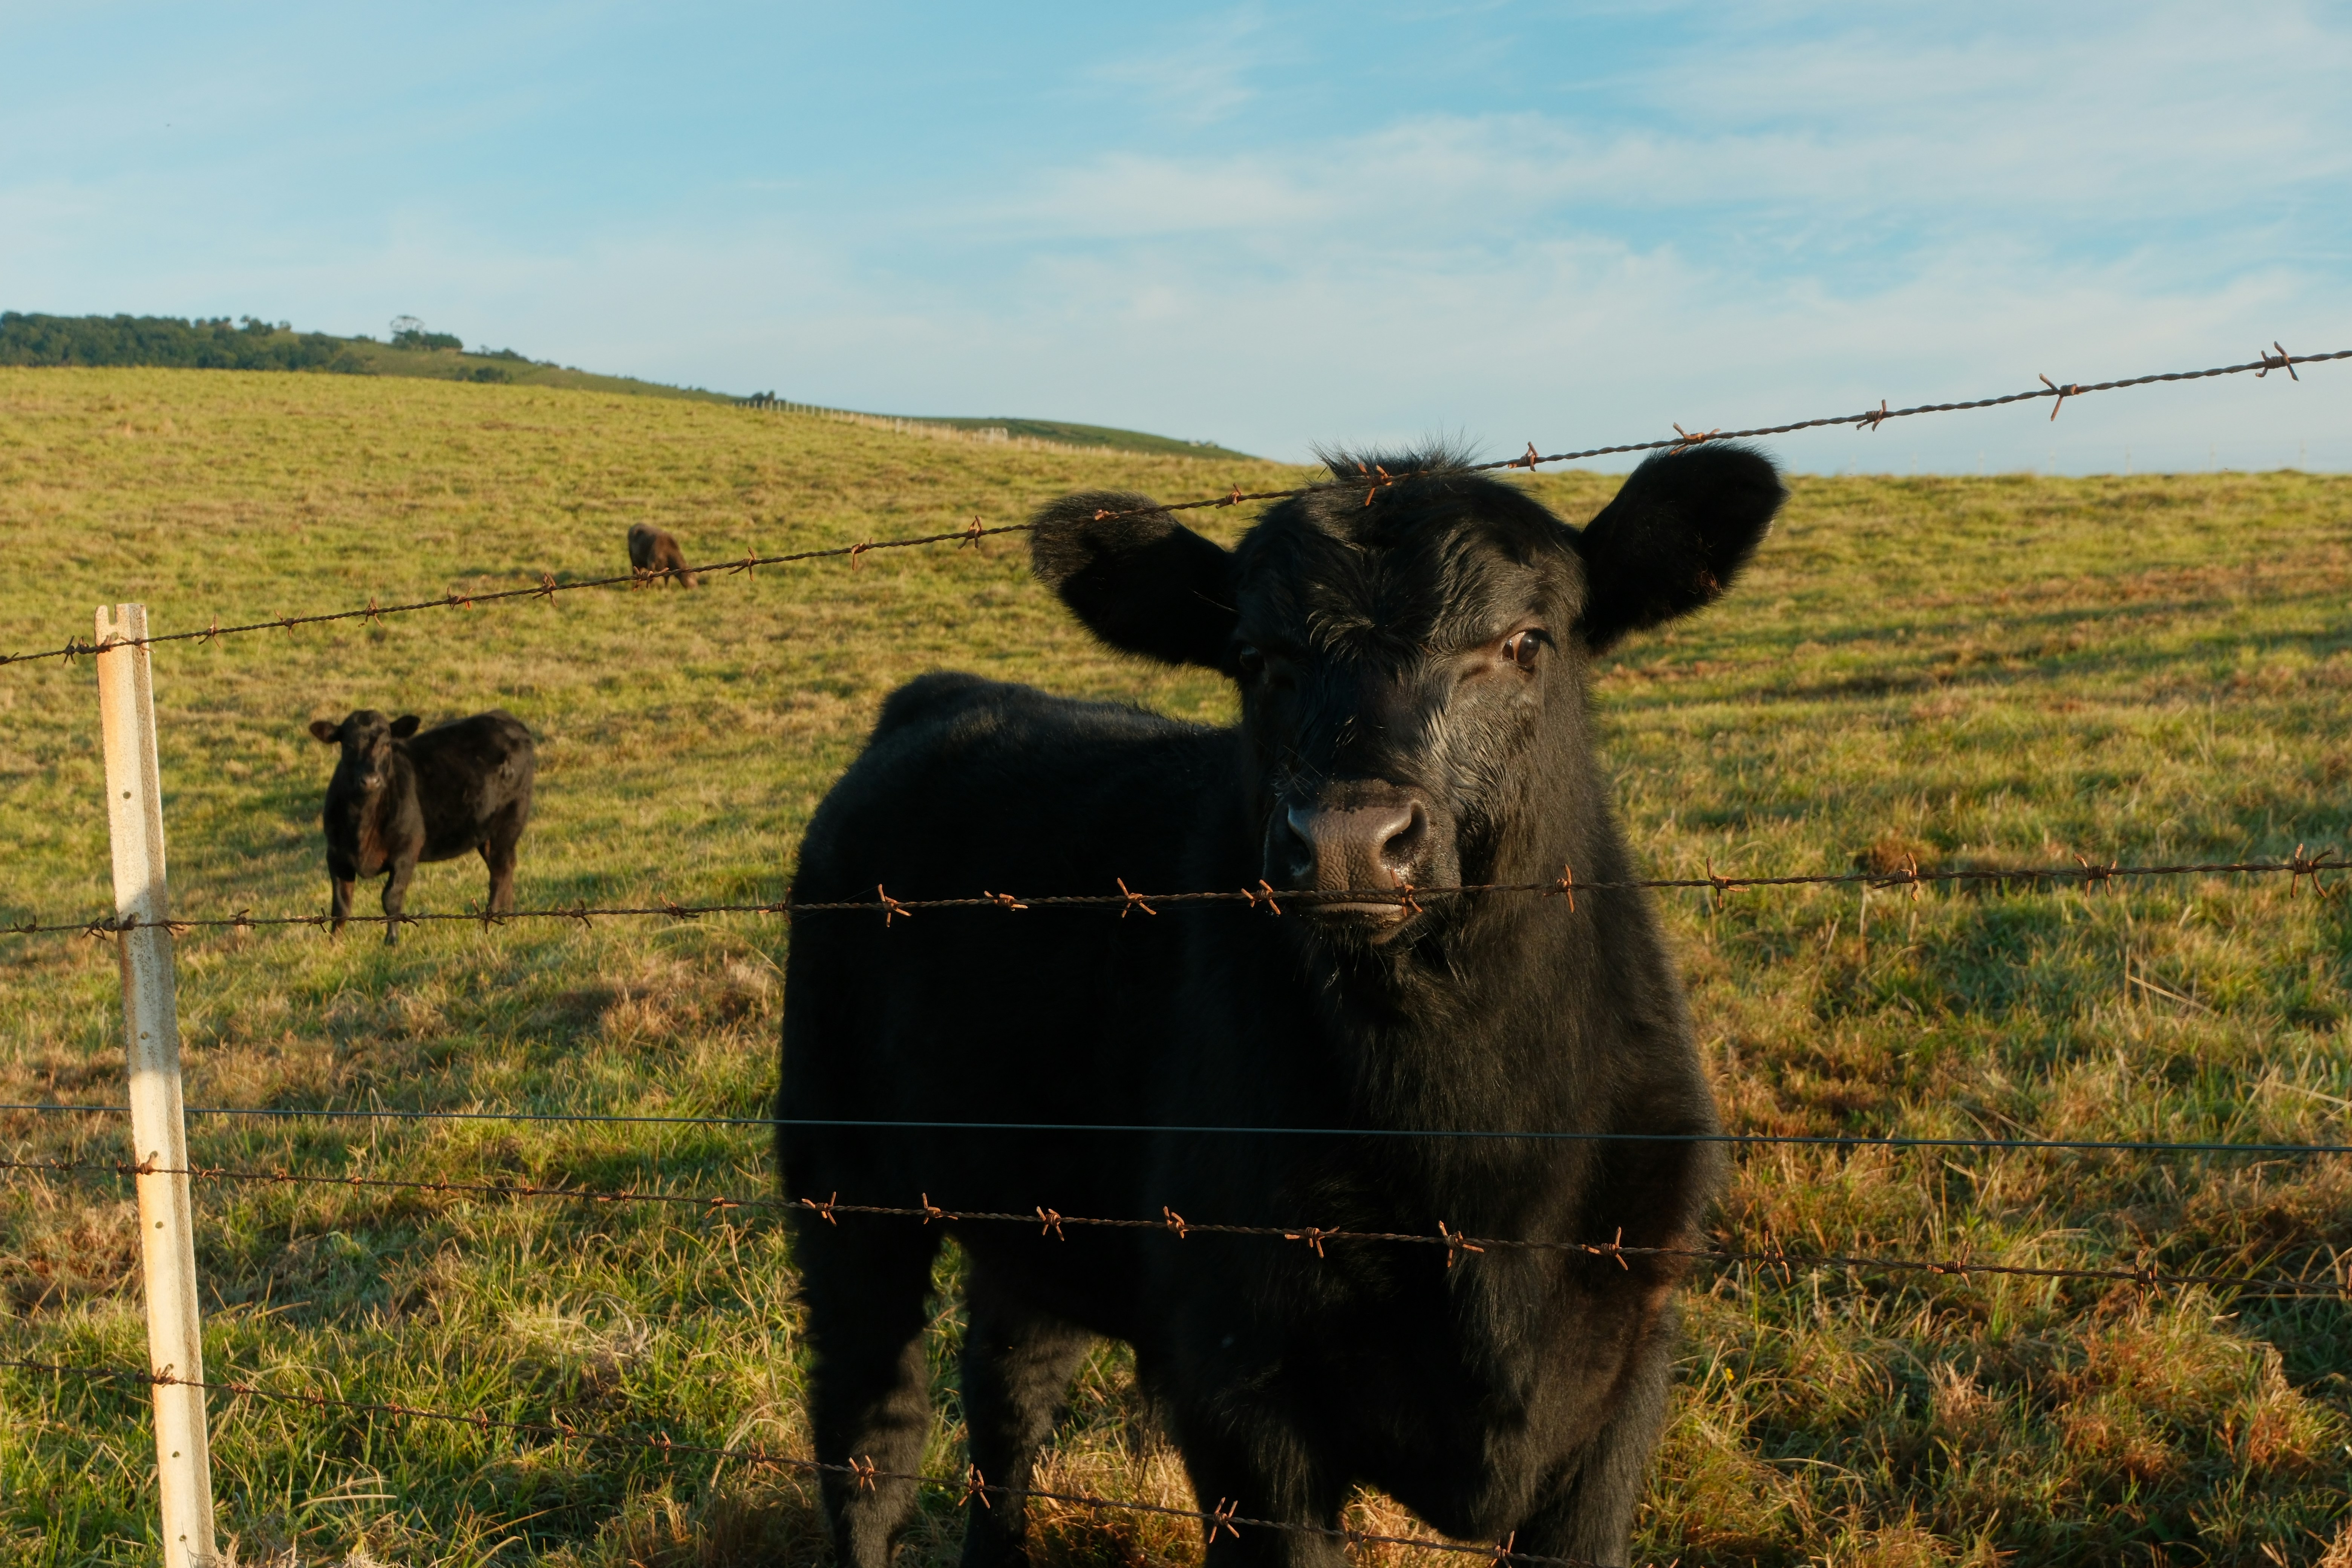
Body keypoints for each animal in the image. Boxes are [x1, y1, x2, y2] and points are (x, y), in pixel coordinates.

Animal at [305, 709, 536, 945]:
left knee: (500, 869)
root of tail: (506, 717)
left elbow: (391, 897)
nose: (370, 781)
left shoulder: (407, 849)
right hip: (486, 831)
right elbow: (341, 905)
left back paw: (493, 918)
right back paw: (507, 915)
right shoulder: (336, 854)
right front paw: (335, 942)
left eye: (387, 744)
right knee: (505, 865)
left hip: (512, 818)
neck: (362, 824)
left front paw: (392, 941)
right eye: (348, 746)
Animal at [628, 522, 698, 587]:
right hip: (634, 560)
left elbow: (666, 580)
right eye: (691, 576)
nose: (696, 586)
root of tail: (633, 527)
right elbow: (651, 578)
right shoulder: (651, 563)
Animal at [778, 443, 1785, 1567]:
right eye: (1257, 658)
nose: (1348, 839)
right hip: (840, 1179)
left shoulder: (1626, 1364)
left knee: (1008, 1386)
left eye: (1524, 643)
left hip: (1036, 1208)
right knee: (870, 1429)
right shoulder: (1239, 1385)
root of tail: (946, 694)